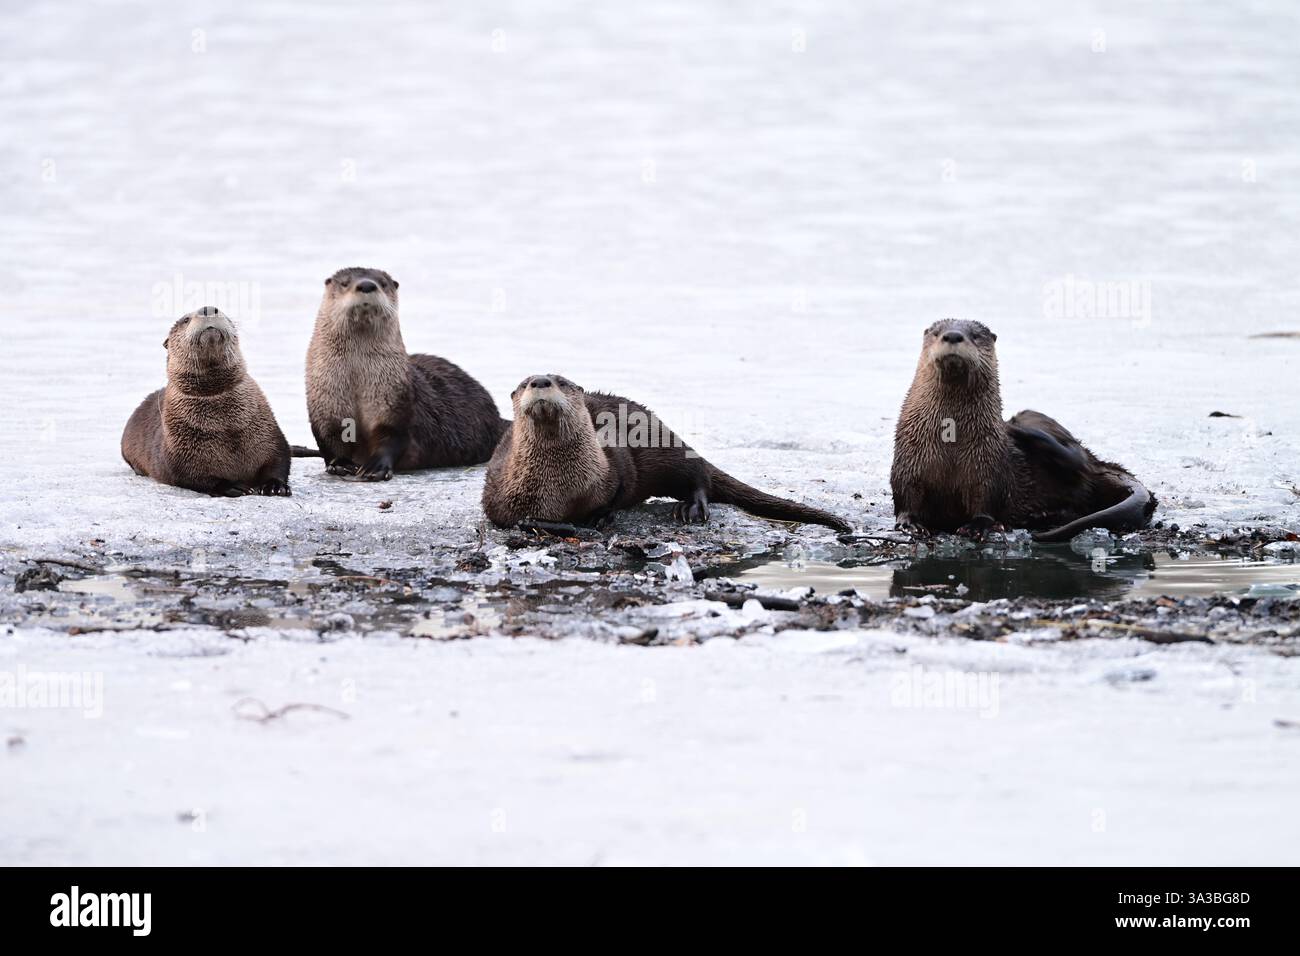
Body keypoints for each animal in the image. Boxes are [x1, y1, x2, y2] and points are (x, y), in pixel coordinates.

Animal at [121, 307, 291, 497]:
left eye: (221, 311)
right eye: (186, 320)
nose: (208, 308)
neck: (227, 427)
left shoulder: (270, 436)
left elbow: (279, 460)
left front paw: (274, 486)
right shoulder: (178, 456)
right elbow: (192, 477)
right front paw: (230, 486)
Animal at [304, 267, 507, 480]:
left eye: (383, 283)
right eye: (344, 283)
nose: (367, 285)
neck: (357, 378)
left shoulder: (395, 404)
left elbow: (393, 437)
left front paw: (375, 467)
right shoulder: (326, 407)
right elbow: (330, 440)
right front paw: (340, 464)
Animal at [482, 375, 852, 533]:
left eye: (561, 381)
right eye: (525, 382)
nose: (541, 381)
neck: (561, 487)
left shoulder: (612, 462)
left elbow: (620, 488)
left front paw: (600, 515)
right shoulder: (499, 490)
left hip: (664, 445)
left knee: (698, 473)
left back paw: (691, 507)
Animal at [890, 319, 1156, 541]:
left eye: (975, 335)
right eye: (936, 333)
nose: (953, 335)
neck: (950, 439)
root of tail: (1099, 463)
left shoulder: (988, 466)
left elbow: (986, 500)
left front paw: (979, 526)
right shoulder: (909, 462)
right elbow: (906, 496)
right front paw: (910, 524)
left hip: (1040, 421)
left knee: (1077, 461)